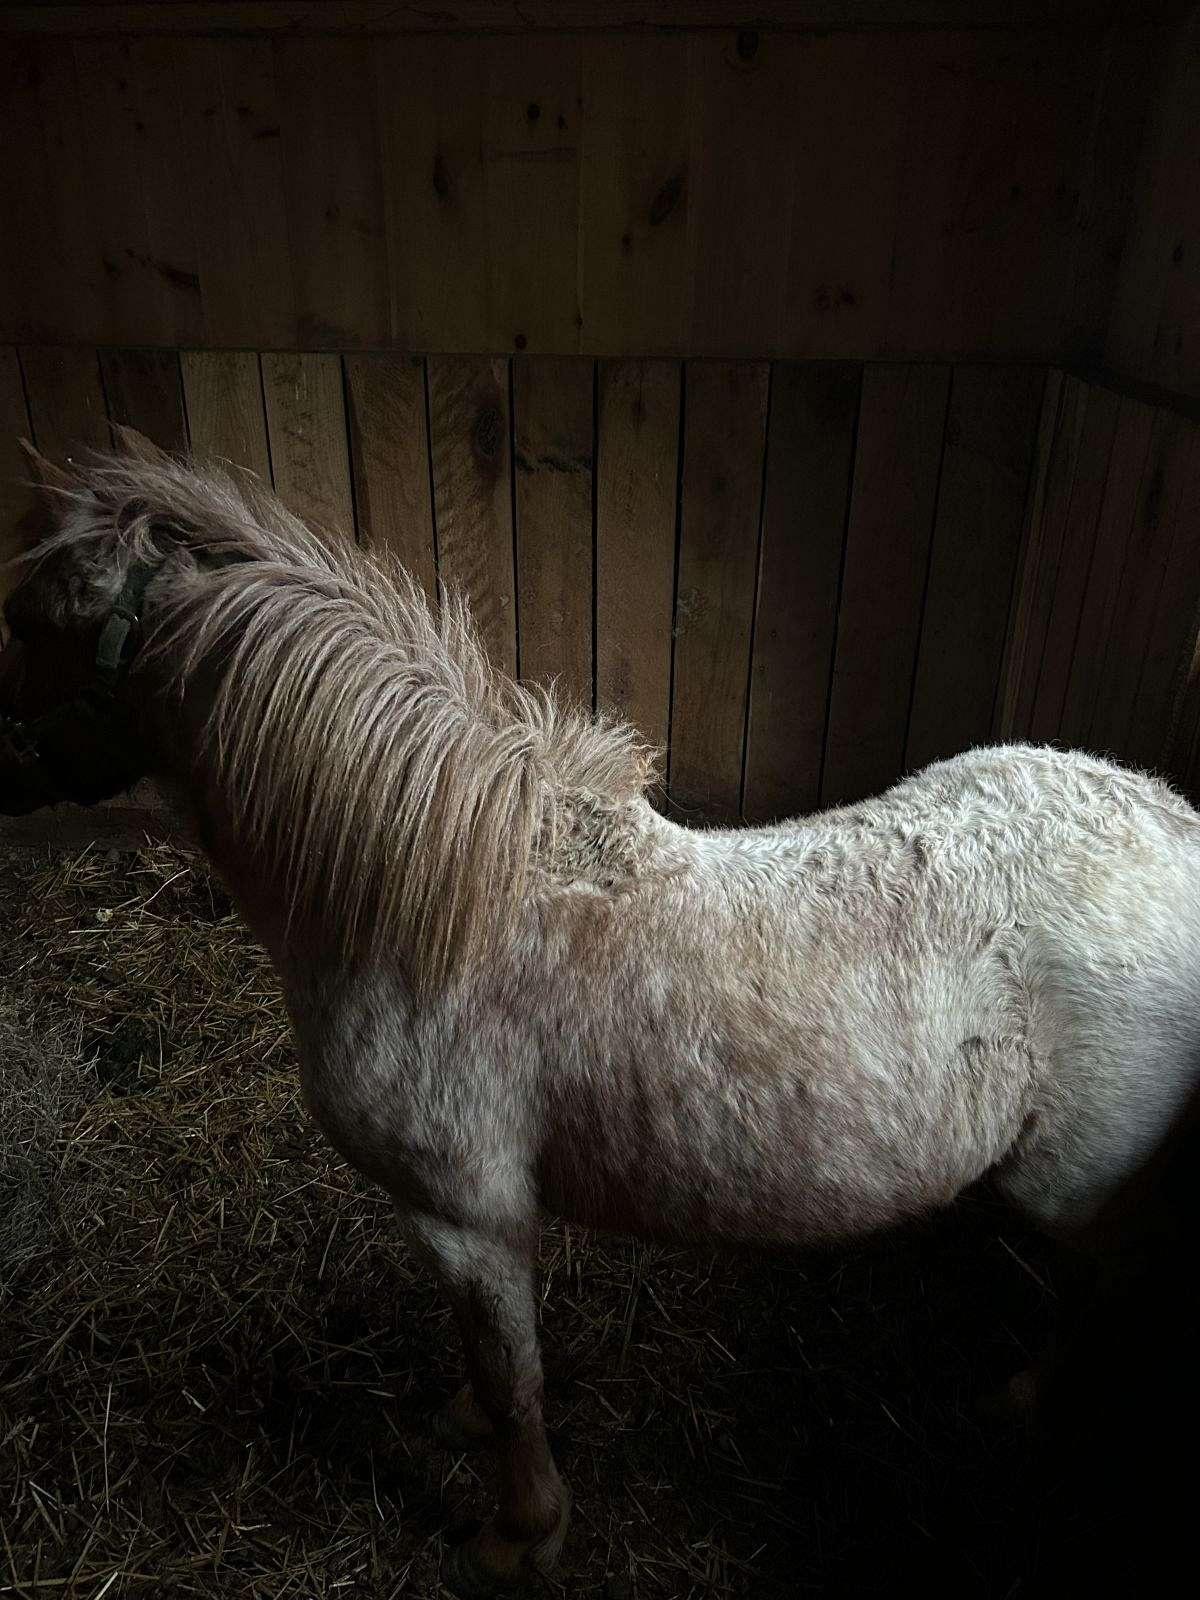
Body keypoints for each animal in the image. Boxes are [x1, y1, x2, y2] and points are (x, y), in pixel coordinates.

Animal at [3, 431, 1199, 1594]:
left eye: (30, 624)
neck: (438, 896)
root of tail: (1174, 823)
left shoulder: (470, 1216)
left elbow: (516, 1380)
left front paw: (516, 1537)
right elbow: (490, 1364)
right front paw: (467, 1428)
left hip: (1079, 1190)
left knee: (1111, 1283)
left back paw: (1021, 1401)